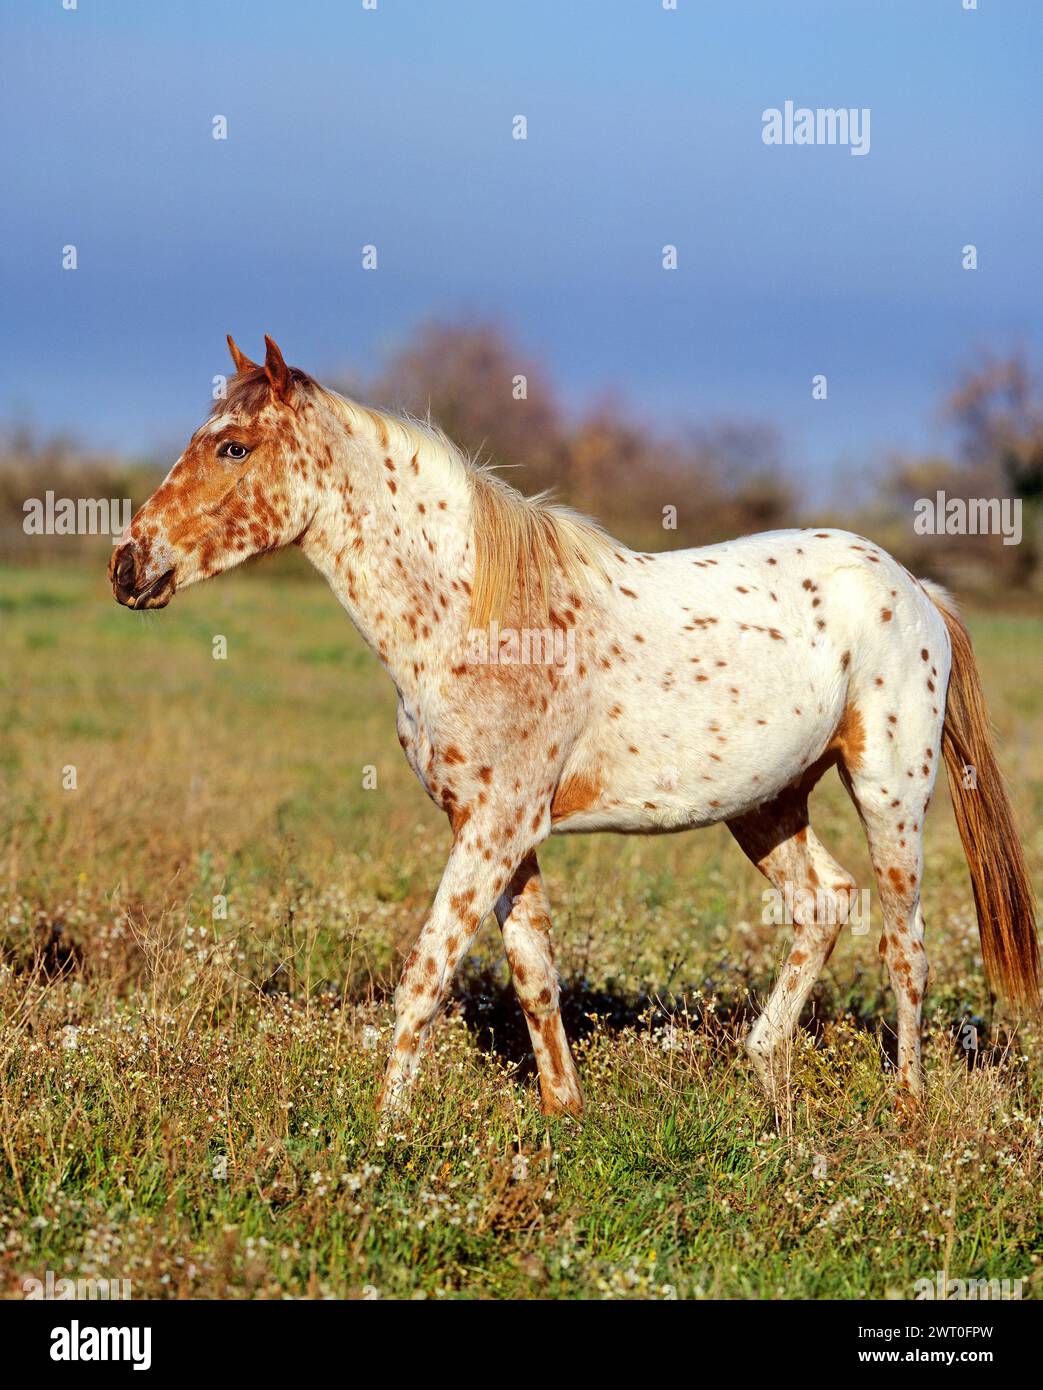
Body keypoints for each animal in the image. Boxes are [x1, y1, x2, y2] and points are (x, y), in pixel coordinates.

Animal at [110, 335, 1039, 1121]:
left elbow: (425, 974)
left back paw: (906, 1106)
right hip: (766, 803)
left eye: (233, 447)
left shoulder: (493, 829)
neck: (472, 618)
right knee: (821, 904)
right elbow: (532, 975)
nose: (128, 566)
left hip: (888, 794)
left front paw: (383, 1136)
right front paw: (563, 1112)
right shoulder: (500, 830)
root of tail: (917, 589)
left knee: (904, 945)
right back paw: (766, 1083)